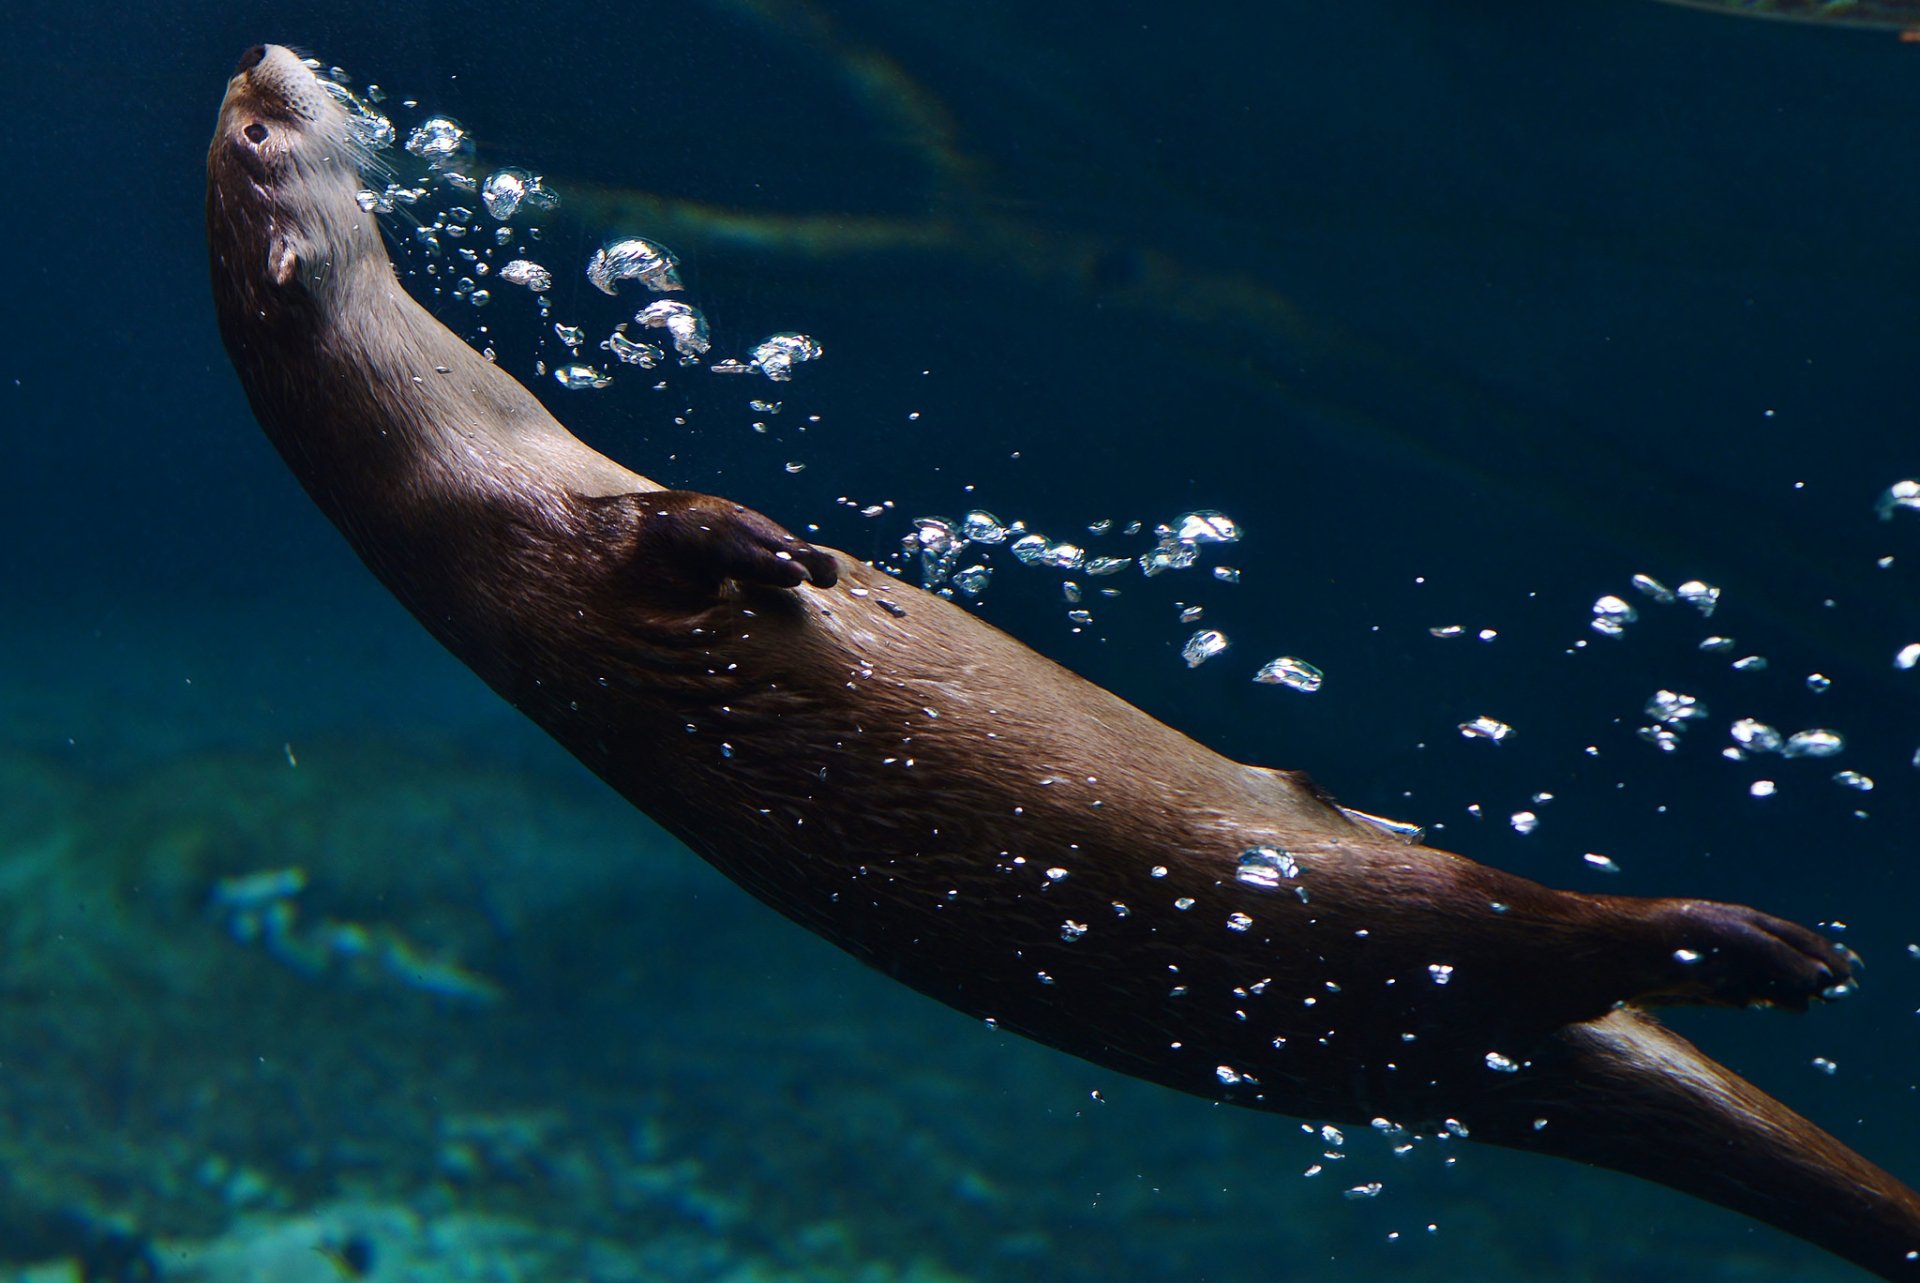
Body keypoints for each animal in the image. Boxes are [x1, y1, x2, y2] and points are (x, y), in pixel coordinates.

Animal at [207, 45, 1920, 1278]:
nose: (257, 55)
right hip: (1386, 914)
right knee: (1547, 932)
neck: (460, 460)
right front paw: (778, 554)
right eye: (253, 144)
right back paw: (1763, 945)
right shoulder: (571, 539)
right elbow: (686, 544)